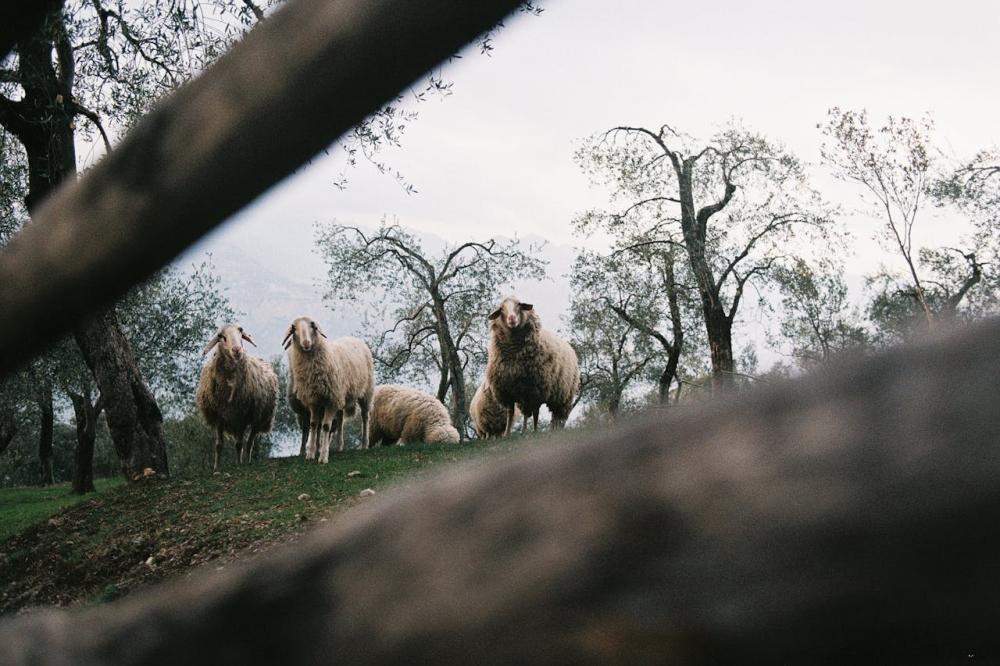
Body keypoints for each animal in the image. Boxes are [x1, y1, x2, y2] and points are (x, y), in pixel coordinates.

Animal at [196, 324, 278, 472]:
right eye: (221, 336)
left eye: (240, 332)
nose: (237, 350)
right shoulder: (219, 416)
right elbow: (219, 445)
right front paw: (216, 468)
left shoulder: (241, 416)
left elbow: (239, 444)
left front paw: (239, 464)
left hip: (258, 418)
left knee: (250, 442)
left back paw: (247, 461)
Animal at [283, 316, 374, 462]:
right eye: (294, 328)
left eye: (312, 326)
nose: (306, 343)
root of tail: (353, 338)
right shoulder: (314, 401)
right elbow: (314, 424)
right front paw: (310, 453)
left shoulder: (331, 400)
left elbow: (325, 426)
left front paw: (323, 456)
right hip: (341, 396)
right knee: (341, 419)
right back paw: (339, 445)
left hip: (366, 391)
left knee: (365, 416)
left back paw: (365, 443)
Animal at [485, 295, 579, 436]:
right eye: (501, 309)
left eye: (519, 304)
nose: (512, 319)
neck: (514, 356)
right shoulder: (507, 391)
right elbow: (510, 414)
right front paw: (508, 433)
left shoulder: (535, 389)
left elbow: (534, 413)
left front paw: (532, 431)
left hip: (563, 394)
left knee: (556, 415)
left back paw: (555, 429)